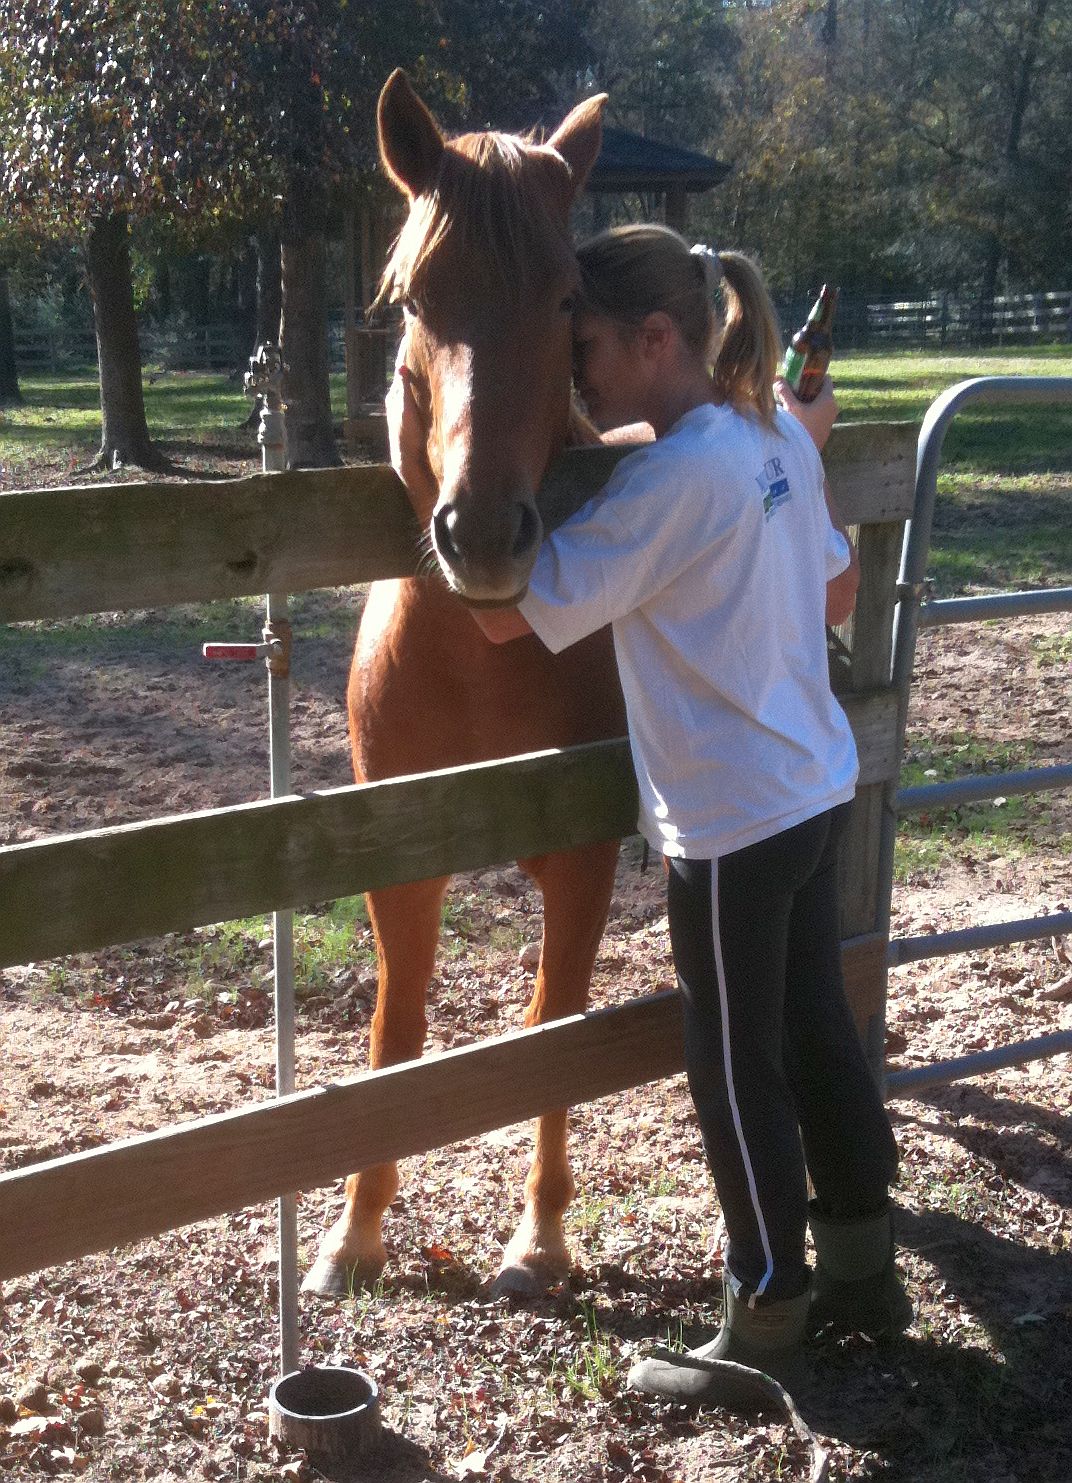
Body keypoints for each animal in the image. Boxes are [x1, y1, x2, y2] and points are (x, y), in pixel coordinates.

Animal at [302, 70, 626, 1299]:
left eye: (566, 292)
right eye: (412, 295)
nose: (484, 535)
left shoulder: (582, 857)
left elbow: (555, 1030)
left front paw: (538, 1240)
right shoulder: (399, 859)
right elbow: (395, 1034)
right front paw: (353, 1235)